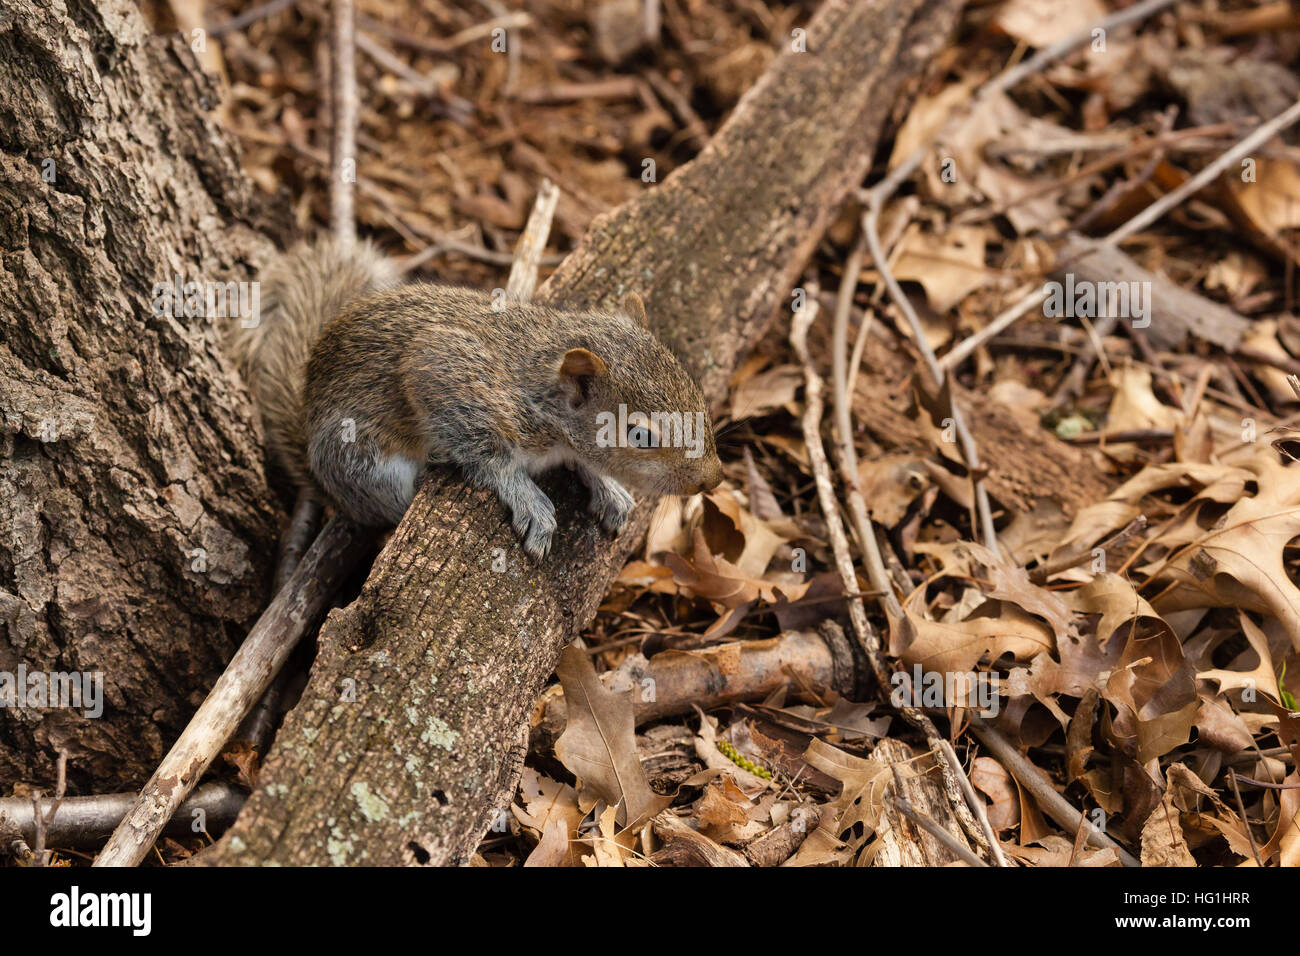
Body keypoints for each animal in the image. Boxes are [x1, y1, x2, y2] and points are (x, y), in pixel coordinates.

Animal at [228, 238, 724, 558]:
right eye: (640, 435)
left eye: (691, 383)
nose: (714, 478)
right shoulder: (446, 371)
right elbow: (488, 455)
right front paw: (526, 496)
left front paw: (606, 483)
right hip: (362, 464)